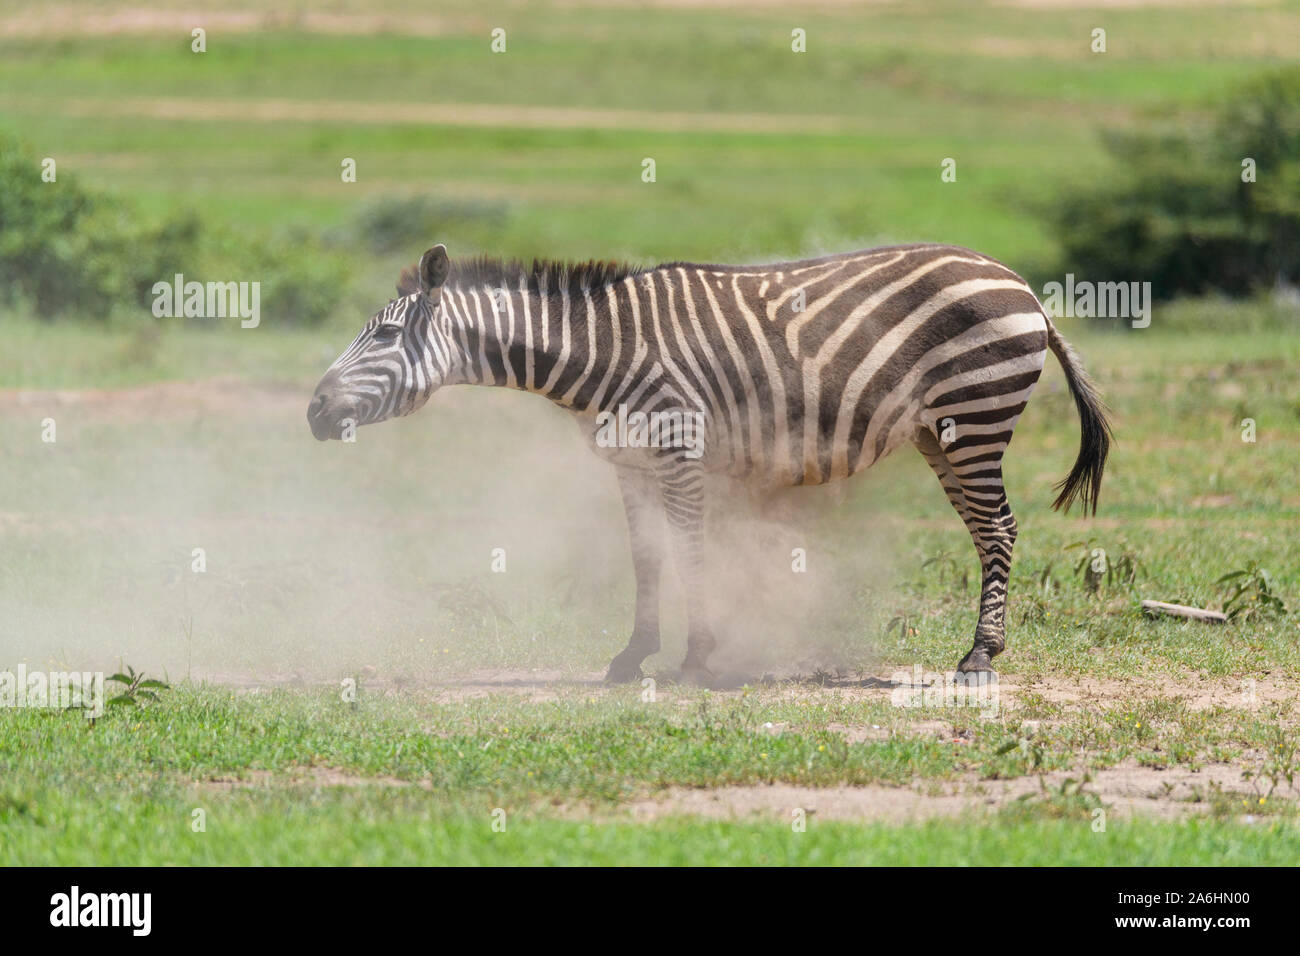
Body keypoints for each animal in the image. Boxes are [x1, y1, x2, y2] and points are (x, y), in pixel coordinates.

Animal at [308, 242, 1110, 684]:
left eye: (383, 336)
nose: (314, 410)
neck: (602, 353)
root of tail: (1021, 284)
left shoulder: (681, 452)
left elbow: (690, 550)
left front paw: (696, 658)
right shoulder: (629, 463)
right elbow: (646, 558)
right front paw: (632, 656)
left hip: (972, 416)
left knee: (998, 529)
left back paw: (980, 657)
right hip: (939, 432)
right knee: (987, 531)